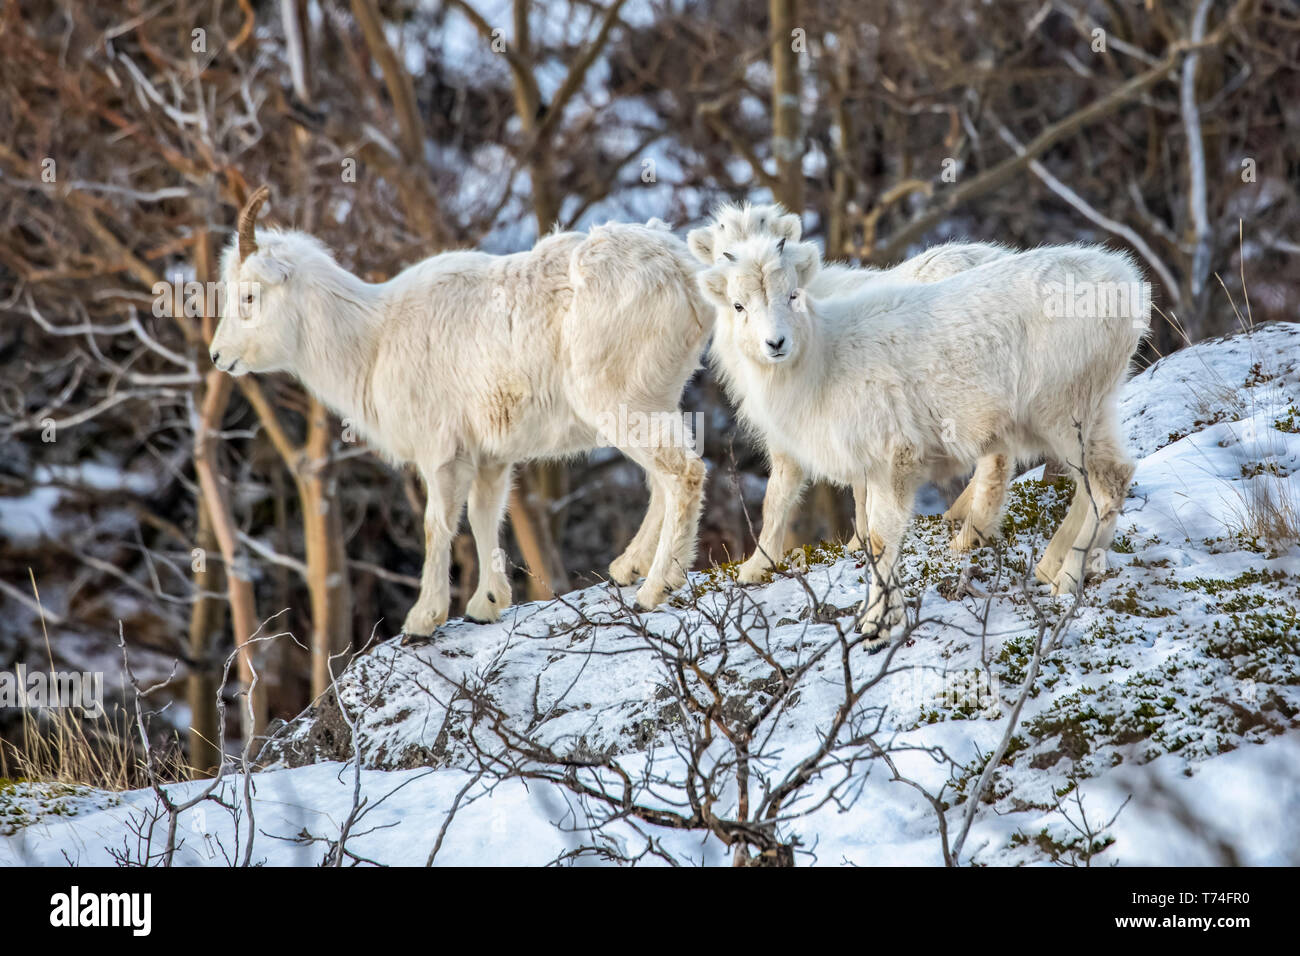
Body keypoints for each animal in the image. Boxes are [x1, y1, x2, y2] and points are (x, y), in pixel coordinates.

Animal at [209, 187, 710, 637]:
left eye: (249, 296)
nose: (218, 356)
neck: (374, 341)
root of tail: (685, 274)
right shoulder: (490, 458)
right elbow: (484, 516)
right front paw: (485, 606)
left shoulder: (442, 454)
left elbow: (437, 525)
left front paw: (421, 621)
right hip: (652, 404)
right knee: (660, 481)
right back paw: (628, 569)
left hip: (621, 405)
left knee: (682, 474)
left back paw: (656, 588)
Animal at [686, 202, 1013, 563]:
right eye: (722, 255)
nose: (775, 343)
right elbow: (859, 487)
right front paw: (860, 541)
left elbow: (778, 496)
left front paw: (759, 564)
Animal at [698, 234, 1148, 647]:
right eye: (738, 305)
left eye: (793, 294)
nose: (775, 344)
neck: (823, 363)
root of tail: (1127, 285)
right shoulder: (871, 472)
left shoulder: (894, 463)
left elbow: (881, 540)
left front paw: (875, 627)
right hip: (1091, 414)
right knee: (1103, 481)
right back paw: (1056, 567)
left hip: (1065, 415)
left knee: (1107, 483)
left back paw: (1066, 580)